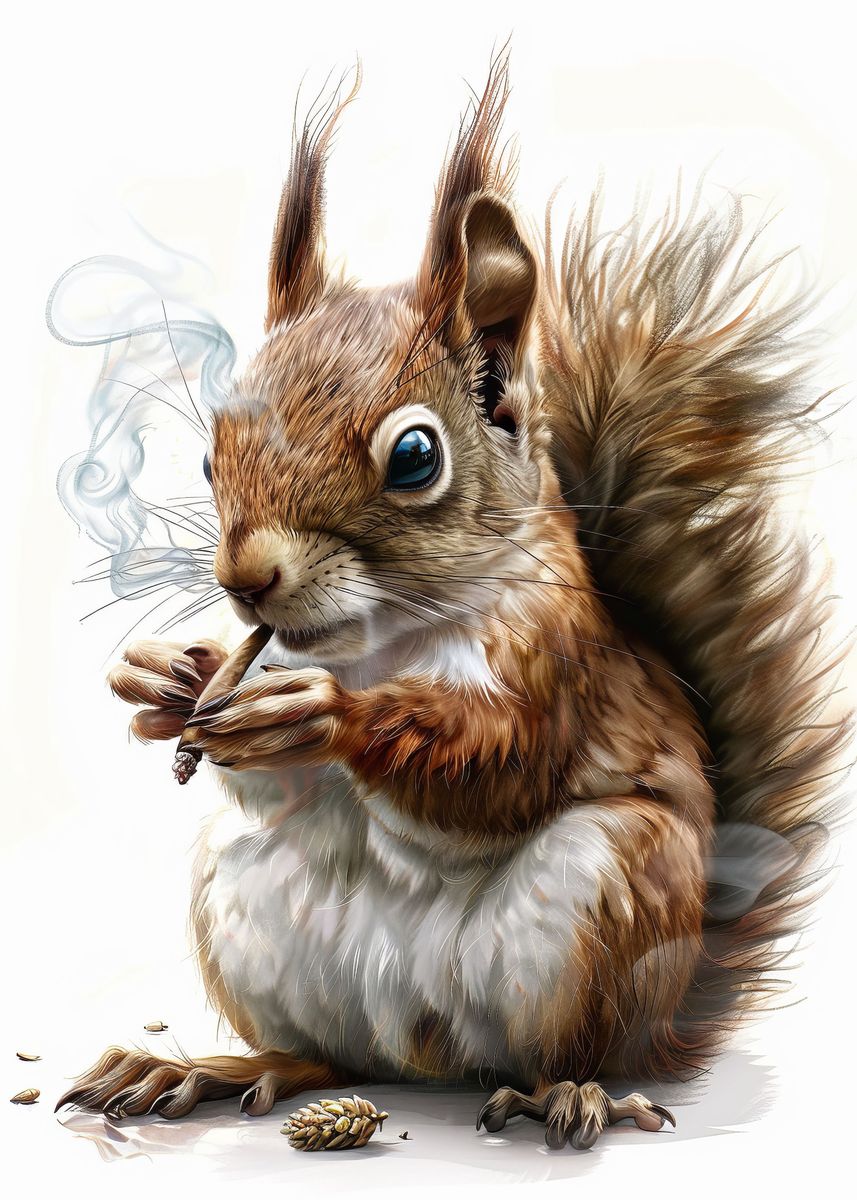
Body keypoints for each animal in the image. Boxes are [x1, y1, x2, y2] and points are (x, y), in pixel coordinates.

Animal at [55, 55, 849, 1150]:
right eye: (212, 454)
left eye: (414, 458)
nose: (245, 579)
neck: (373, 641)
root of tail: (424, 1054)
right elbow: (252, 768)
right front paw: (167, 679)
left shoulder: (554, 665)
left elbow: (497, 764)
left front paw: (320, 715)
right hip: (248, 912)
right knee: (325, 1056)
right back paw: (210, 1067)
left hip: (604, 900)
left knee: (563, 1048)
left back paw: (570, 1094)